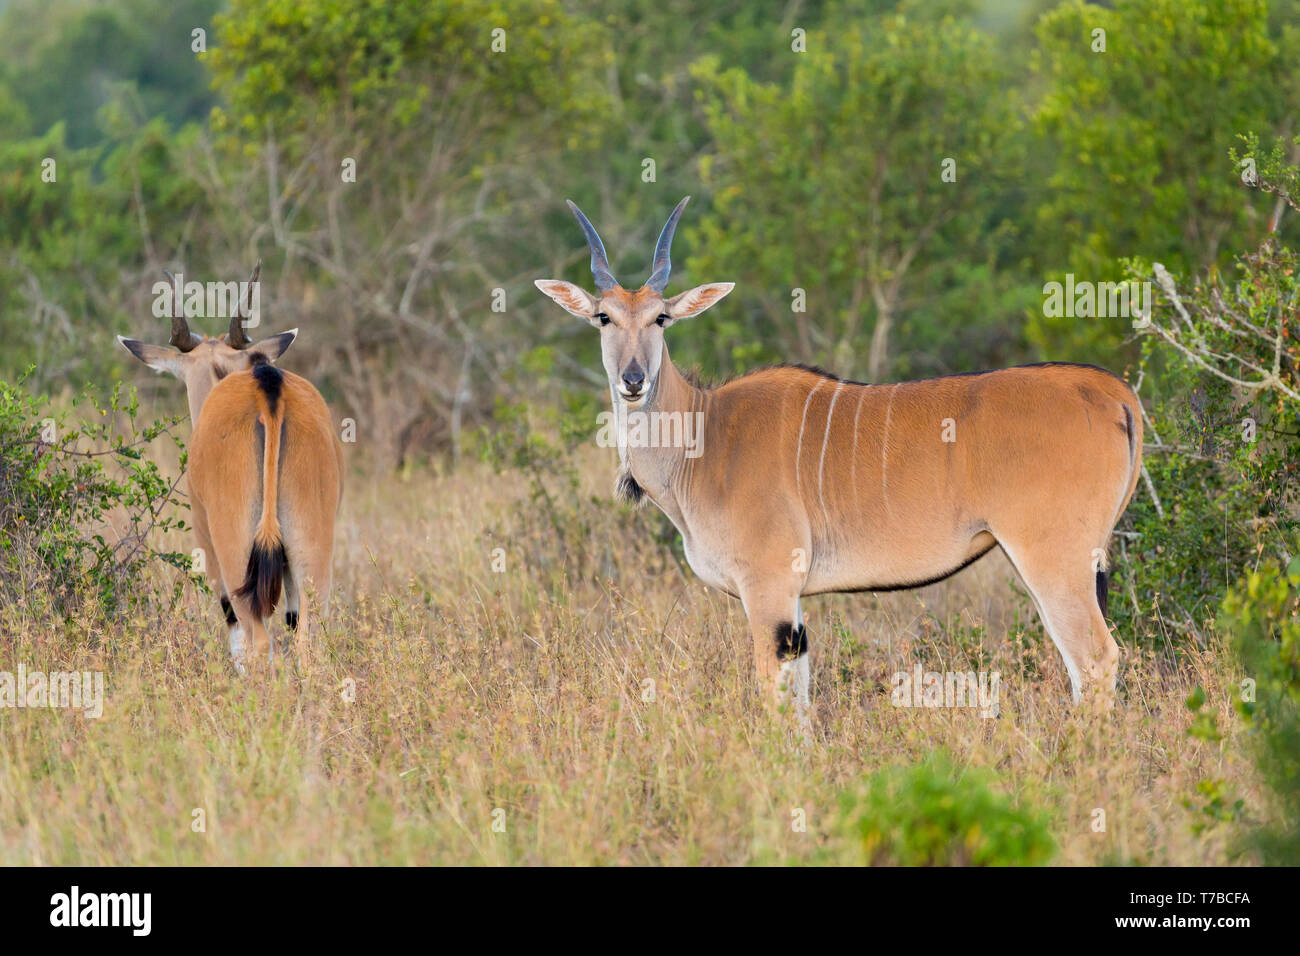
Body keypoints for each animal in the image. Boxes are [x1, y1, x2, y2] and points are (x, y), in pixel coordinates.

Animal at [536, 198, 1142, 727]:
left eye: (661, 318)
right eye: (602, 317)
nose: (633, 380)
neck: (703, 434)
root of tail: (1111, 392)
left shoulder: (769, 586)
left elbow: (777, 699)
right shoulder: (793, 608)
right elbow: (801, 698)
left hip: (1053, 559)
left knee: (1096, 660)